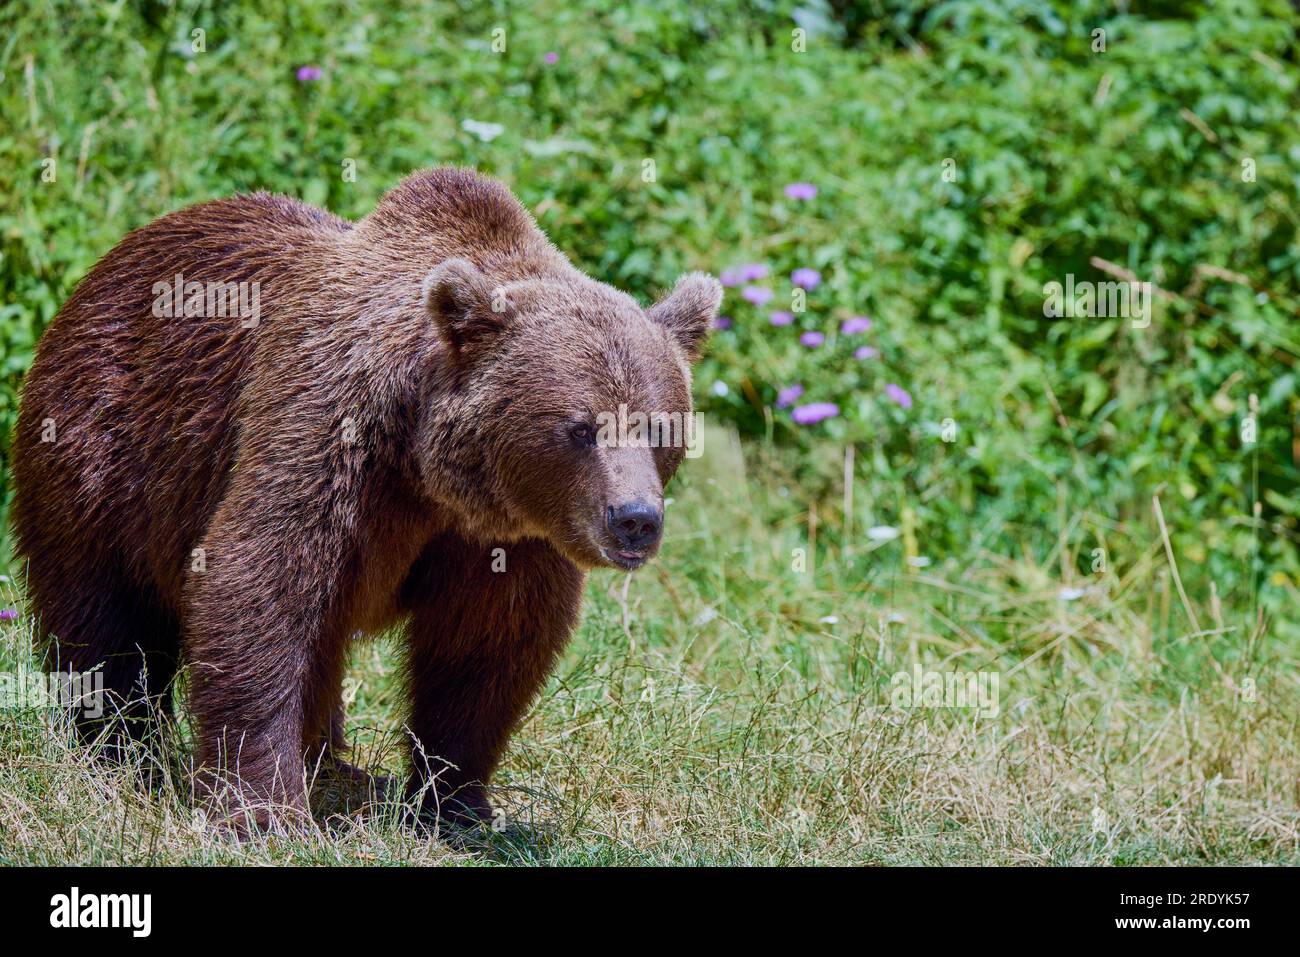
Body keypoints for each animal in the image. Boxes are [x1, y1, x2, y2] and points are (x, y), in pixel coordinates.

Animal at [11, 167, 721, 831]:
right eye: (580, 427)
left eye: (660, 426)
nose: (634, 519)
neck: (430, 475)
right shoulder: (327, 432)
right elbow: (257, 583)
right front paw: (264, 811)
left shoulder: (507, 536)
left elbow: (489, 647)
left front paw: (456, 803)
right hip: (103, 455)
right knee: (104, 618)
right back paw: (119, 751)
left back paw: (330, 760)